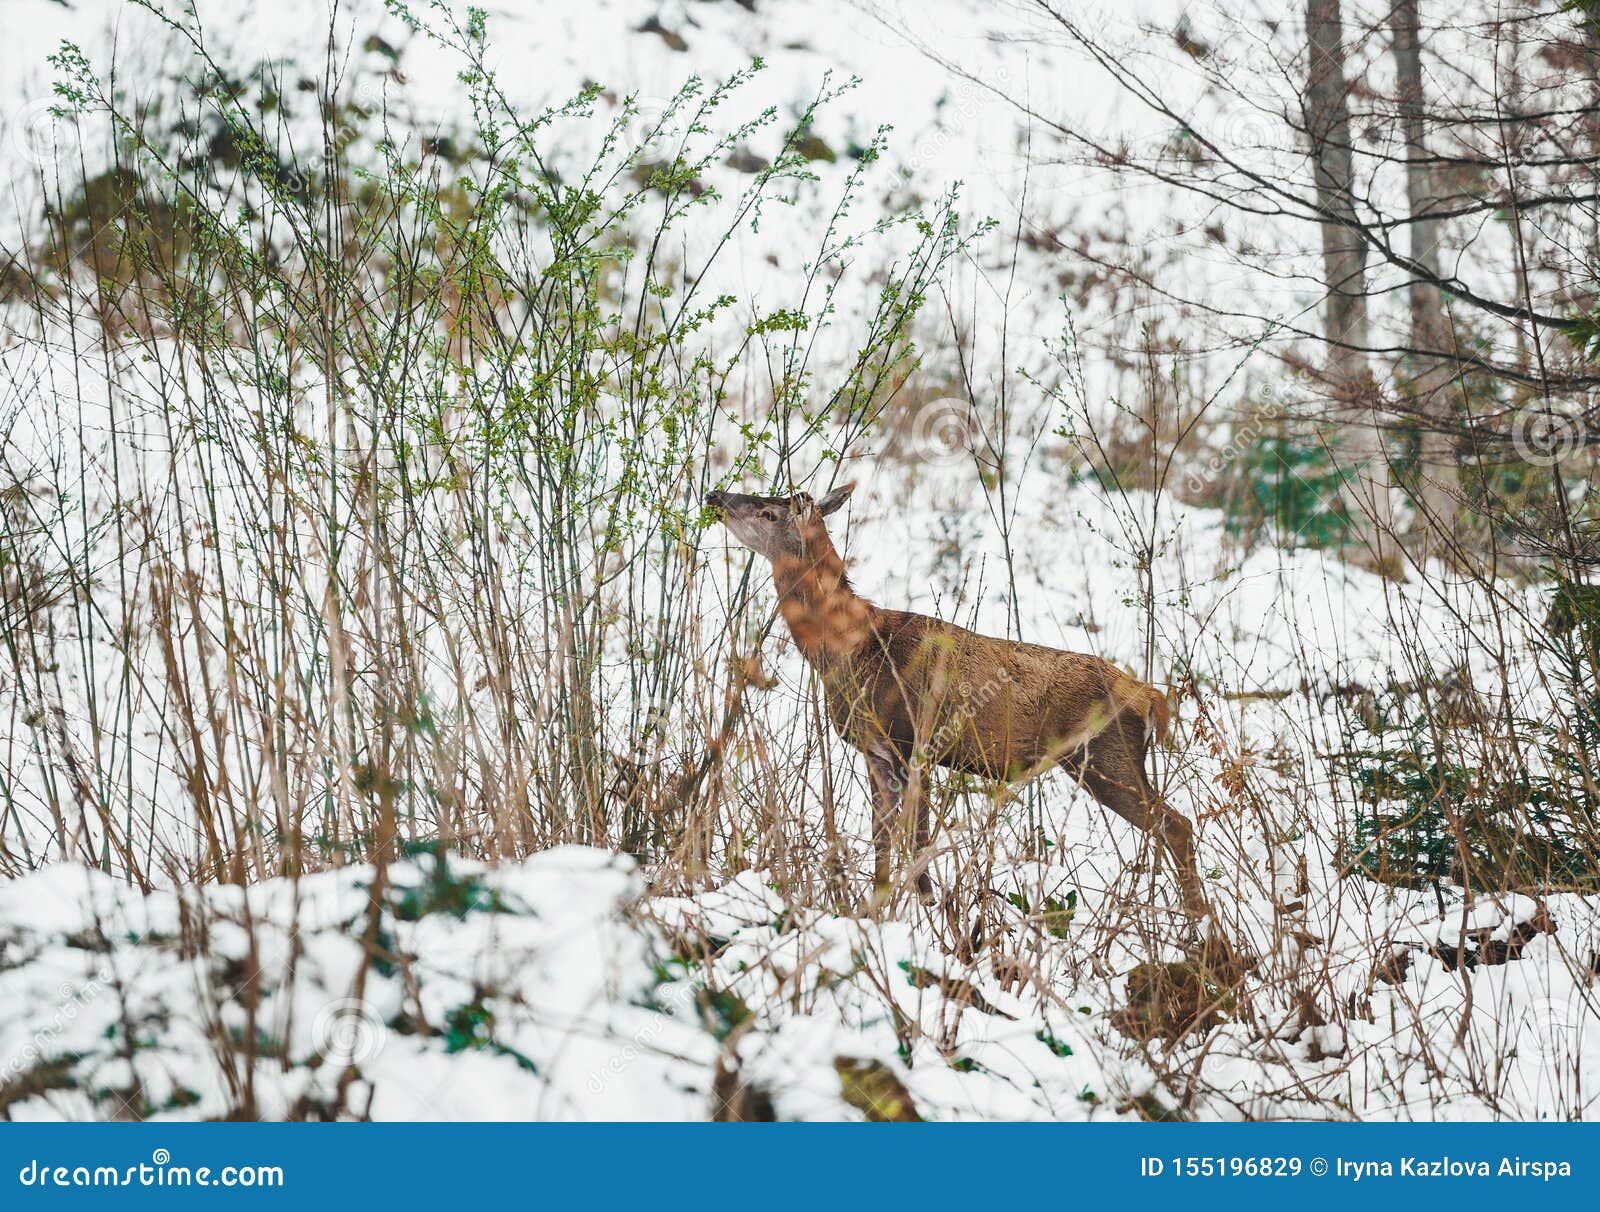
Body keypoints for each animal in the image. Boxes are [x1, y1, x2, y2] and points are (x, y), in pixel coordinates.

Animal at [705, 482, 1214, 922]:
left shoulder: (914, 741)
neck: (852, 649)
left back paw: (1197, 920)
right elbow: (881, 841)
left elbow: (917, 839)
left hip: (1105, 755)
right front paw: (875, 909)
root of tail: (1150, 697)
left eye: (769, 512)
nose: (715, 494)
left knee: (1176, 824)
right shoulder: (874, 751)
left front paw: (929, 909)